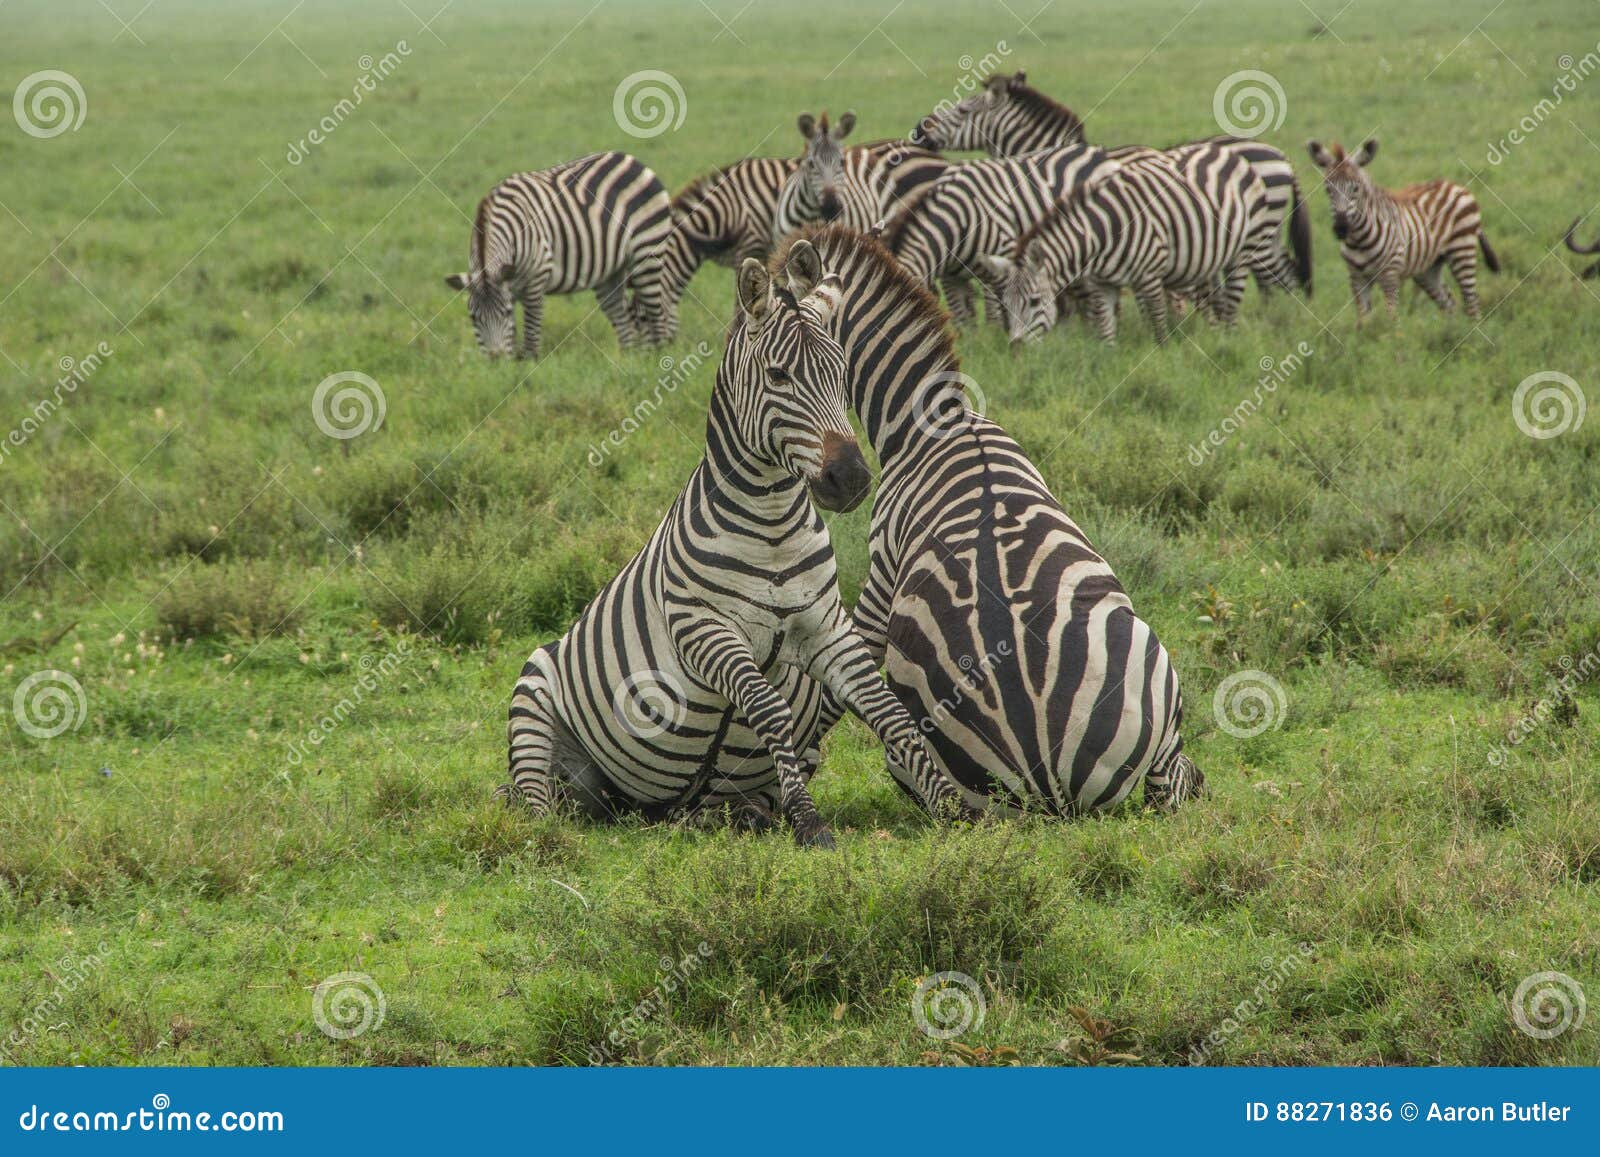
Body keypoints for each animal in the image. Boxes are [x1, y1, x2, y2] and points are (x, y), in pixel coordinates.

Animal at [444, 151, 674, 360]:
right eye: (473, 318)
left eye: (506, 313)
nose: (496, 360)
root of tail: (630, 159)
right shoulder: (509, 287)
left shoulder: (536, 278)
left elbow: (531, 331)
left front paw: (528, 366)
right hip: (610, 272)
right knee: (623, 318)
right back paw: (630, 360)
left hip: (648, 250)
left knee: (655, 313)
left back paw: (656, 358)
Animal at [504, 241, 971, 847]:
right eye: (777, 375)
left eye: (843, 372)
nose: (849, 479)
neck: (771, 527)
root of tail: (642, 808)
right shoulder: (703, 630)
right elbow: (769, 709)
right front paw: (809, 821)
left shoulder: (826, 628)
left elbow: (887, 710)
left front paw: (954, 809)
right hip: (534, 697)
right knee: (536, 803)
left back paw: (744, 815)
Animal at [779, 224, 1203, 816]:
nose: (842, 485)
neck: (931, 426)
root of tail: (1046, 767)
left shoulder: (881, 567)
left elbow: (847, 664)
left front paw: (802, 753)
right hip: (1153, 663)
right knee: (1170, 785)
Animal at [996, 150, 1252, 343]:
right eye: (1006, 304)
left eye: (1034, 301)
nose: (1015, 350)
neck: (1102, 235)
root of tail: (1224, 151)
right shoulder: (1102, 284)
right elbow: (1106, 327)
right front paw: (1107, 361)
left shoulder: (1149, 275)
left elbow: (1158, 321)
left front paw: (1163, 353)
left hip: (1243, 250)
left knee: (1233, 301)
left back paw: (1229, 340)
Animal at [1307, 138, 1499, 320]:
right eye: (1327, 189)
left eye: (1356, 188)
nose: (1341, 228)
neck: (1359, 240)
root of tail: (1458, 186)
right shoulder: (1357, 278)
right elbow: (1363, 320)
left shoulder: (1390, 275)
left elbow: (1391, 319)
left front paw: (1392, 333)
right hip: (1428, 268)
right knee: (1449, 303)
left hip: (1462, 251)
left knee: (1472, 303)